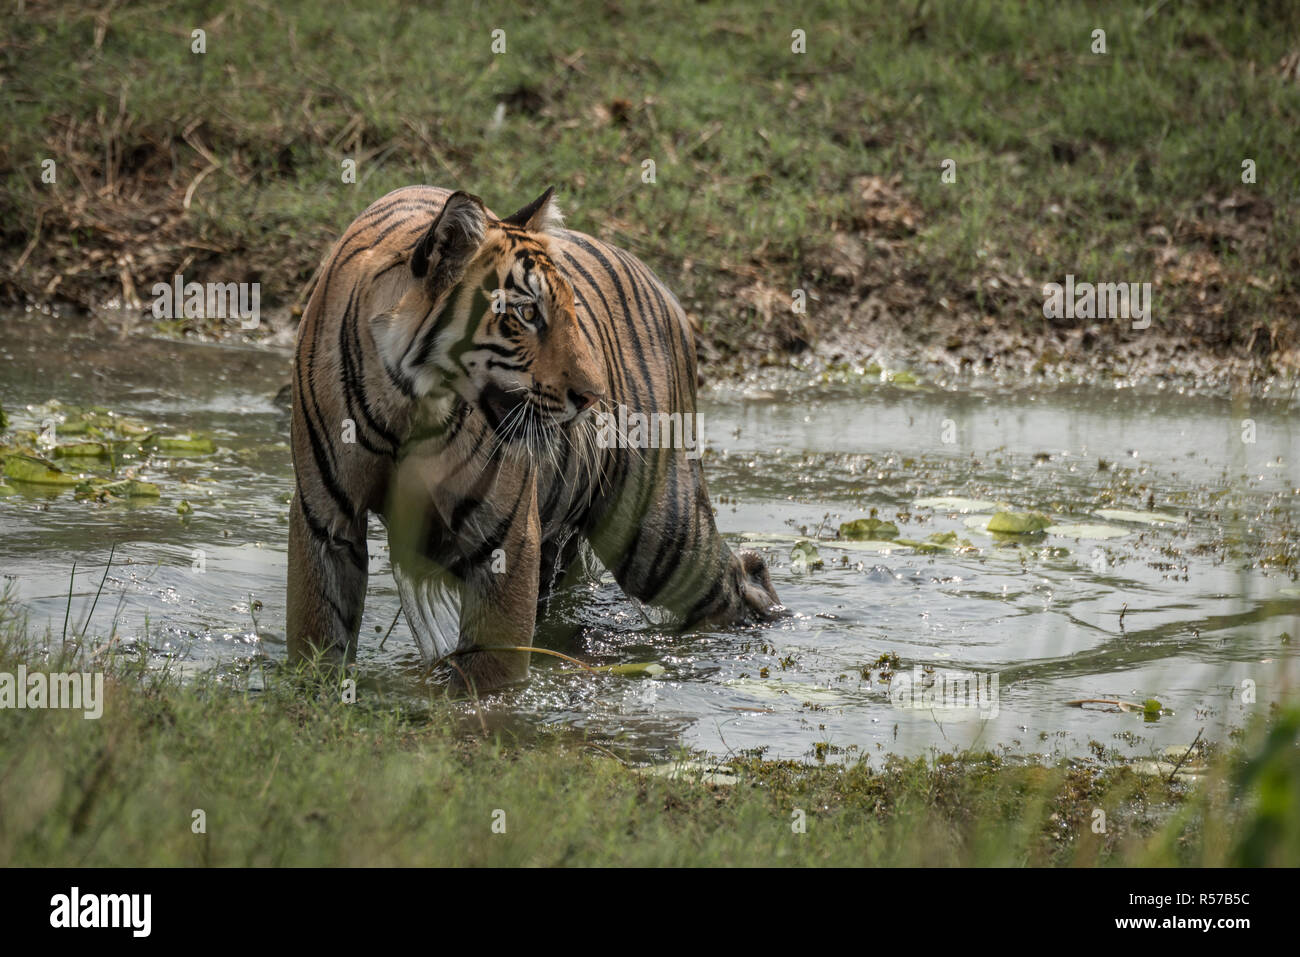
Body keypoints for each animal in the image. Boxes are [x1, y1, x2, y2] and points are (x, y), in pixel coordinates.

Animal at [287, 184, 781, 690]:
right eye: (526, 313)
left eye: (570, 312)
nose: (592, 395)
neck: (412, 405)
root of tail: (664, 288)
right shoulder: (324, 519)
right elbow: (318, 629)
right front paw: (313, 689)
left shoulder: (506, 536)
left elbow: (494, 667)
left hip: (659, 536)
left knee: (742, 577)